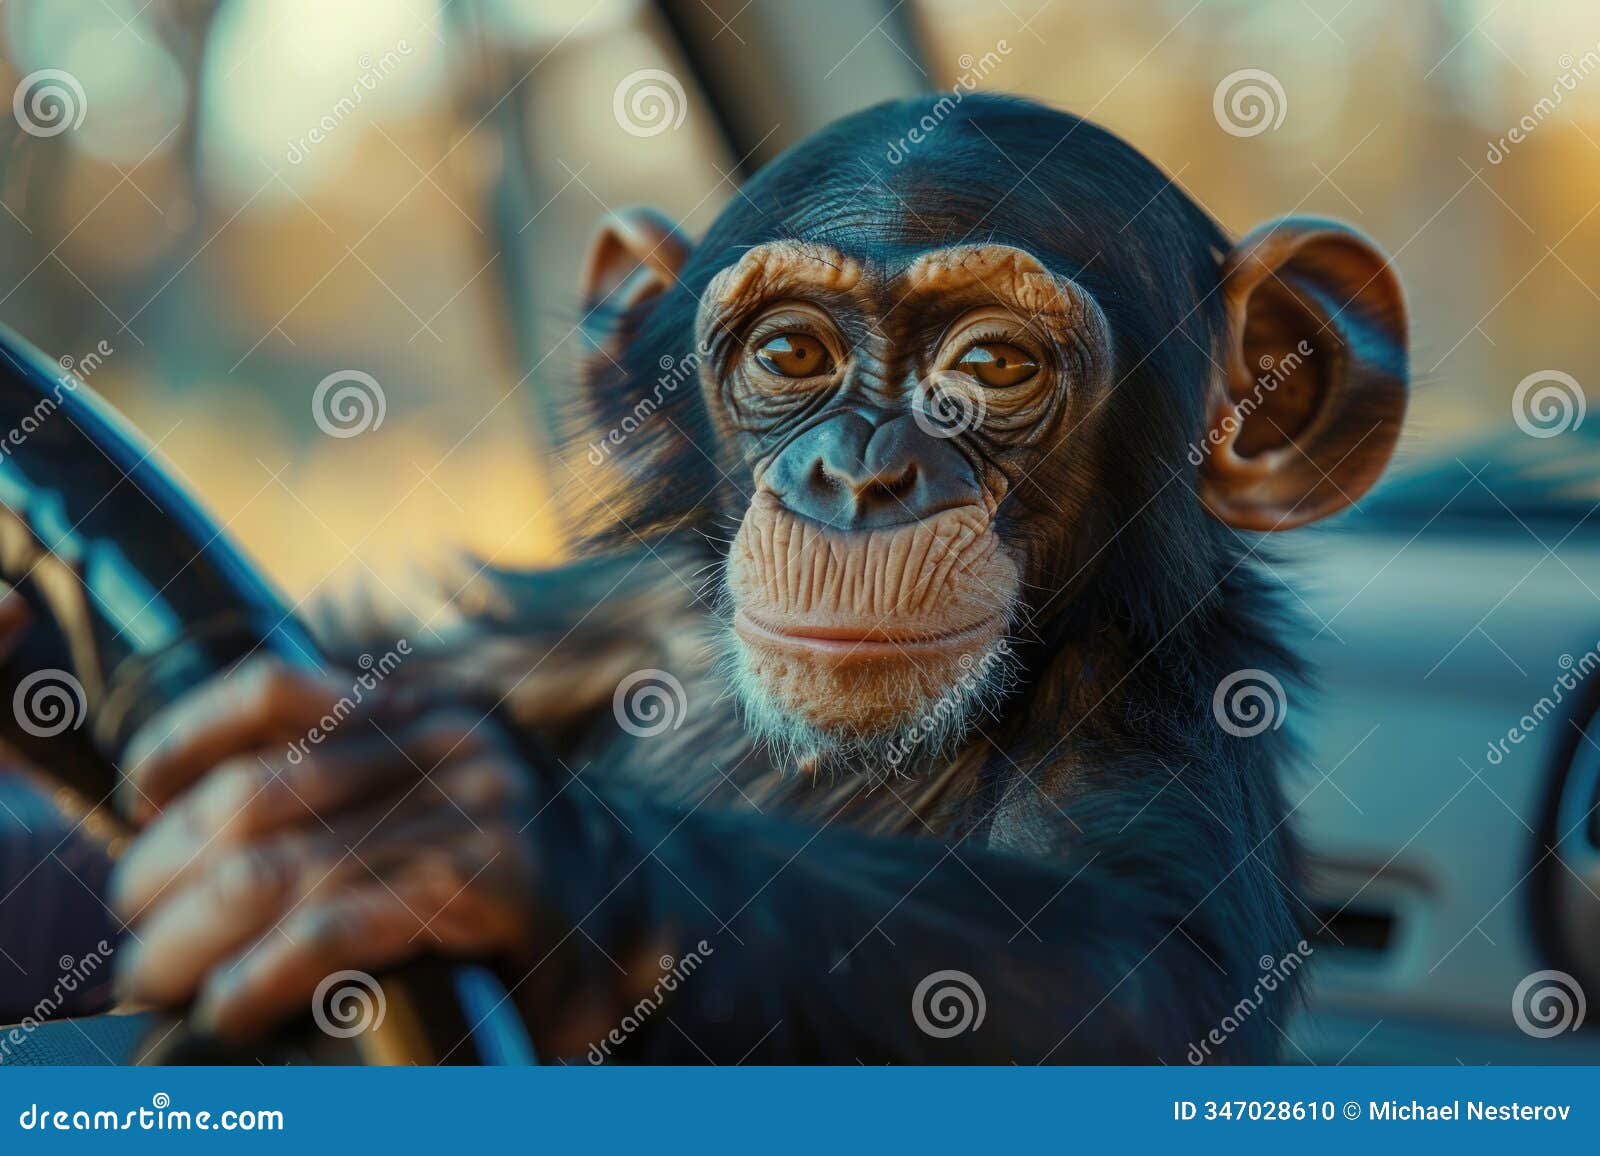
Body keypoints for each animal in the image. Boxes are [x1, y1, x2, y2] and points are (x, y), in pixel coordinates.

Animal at [85, 93, 1407, 1062]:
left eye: (991, 365)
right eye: (790, 352)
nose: (861, 472)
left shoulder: (1147, 740)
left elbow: (1127, 980)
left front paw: (483, 853)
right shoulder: (602, 619)